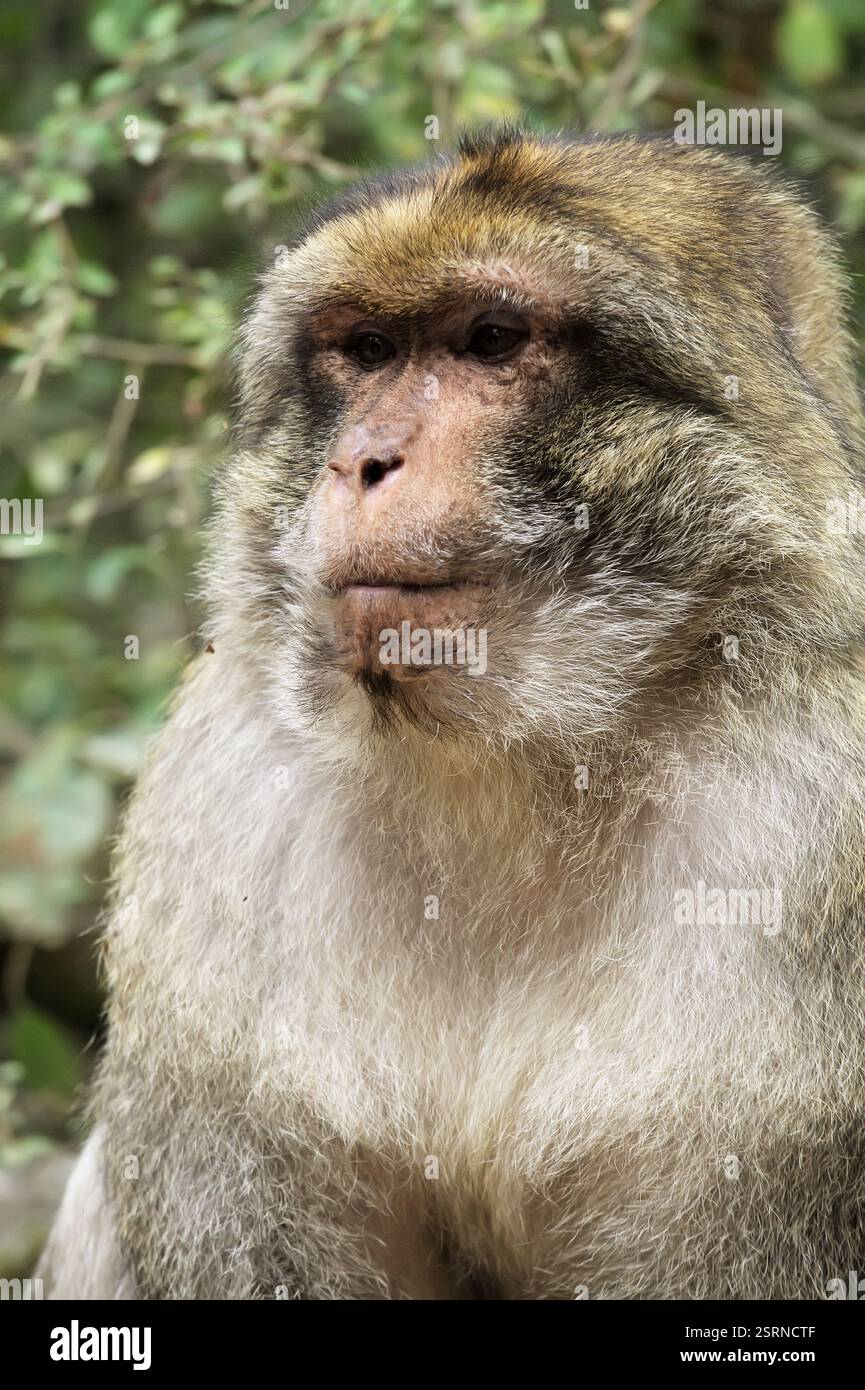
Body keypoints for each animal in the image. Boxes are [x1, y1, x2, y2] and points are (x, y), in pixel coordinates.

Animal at [38, 127, 865, 1300]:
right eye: (368, 349)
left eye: (490, 340)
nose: (361, 460)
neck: (514, 759)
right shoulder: (221, 801)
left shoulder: (814, 827)